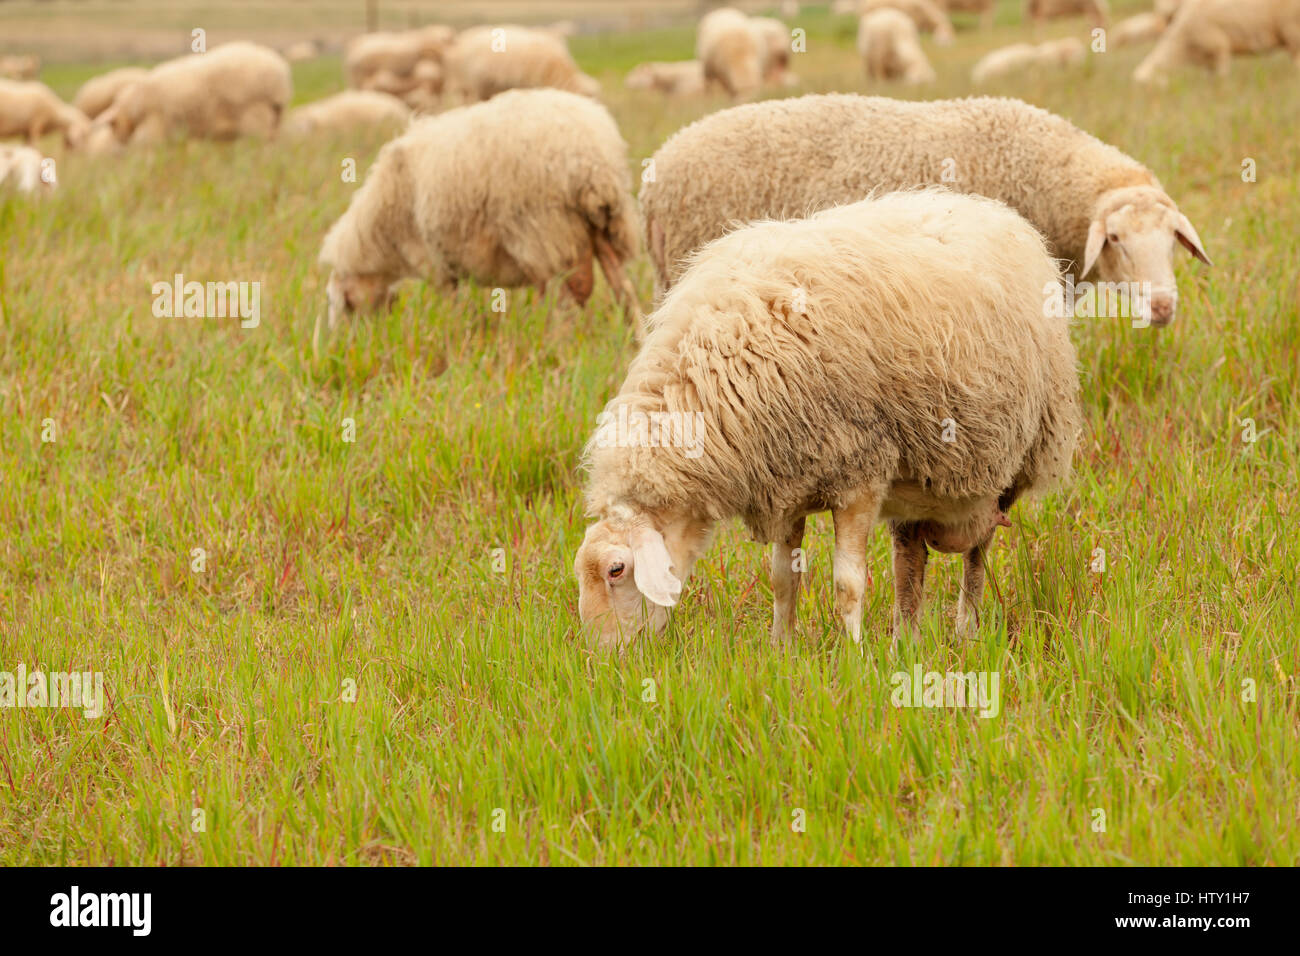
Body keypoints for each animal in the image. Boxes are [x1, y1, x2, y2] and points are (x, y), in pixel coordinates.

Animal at [90, 42, 290, 147]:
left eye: (113, 124)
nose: (119, 141)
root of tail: (281, 70)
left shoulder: (157, 123)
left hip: (256, 115)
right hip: (276, 116)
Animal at [319, 88, 641, 328]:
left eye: (340, 304)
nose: (346, 343)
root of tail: (594, 161)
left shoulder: (434, 262)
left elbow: (451, 303)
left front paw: (451, 332)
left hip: (544, 232)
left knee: (564, 300)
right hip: (604, 226)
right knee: (623, 289)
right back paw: (633, 336)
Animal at [574, 189, 1082, 650]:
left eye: (616, 570)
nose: (603, 659)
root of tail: (990, 208)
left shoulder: (861, 476)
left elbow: (848, 584)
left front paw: (856, 657)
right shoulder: (784, 483)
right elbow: (782, 579)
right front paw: (781, 648)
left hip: (1013, 461)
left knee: (977, 552)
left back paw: (965, 630)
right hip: (920, 477)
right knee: (910, 558)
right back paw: (906, 640)